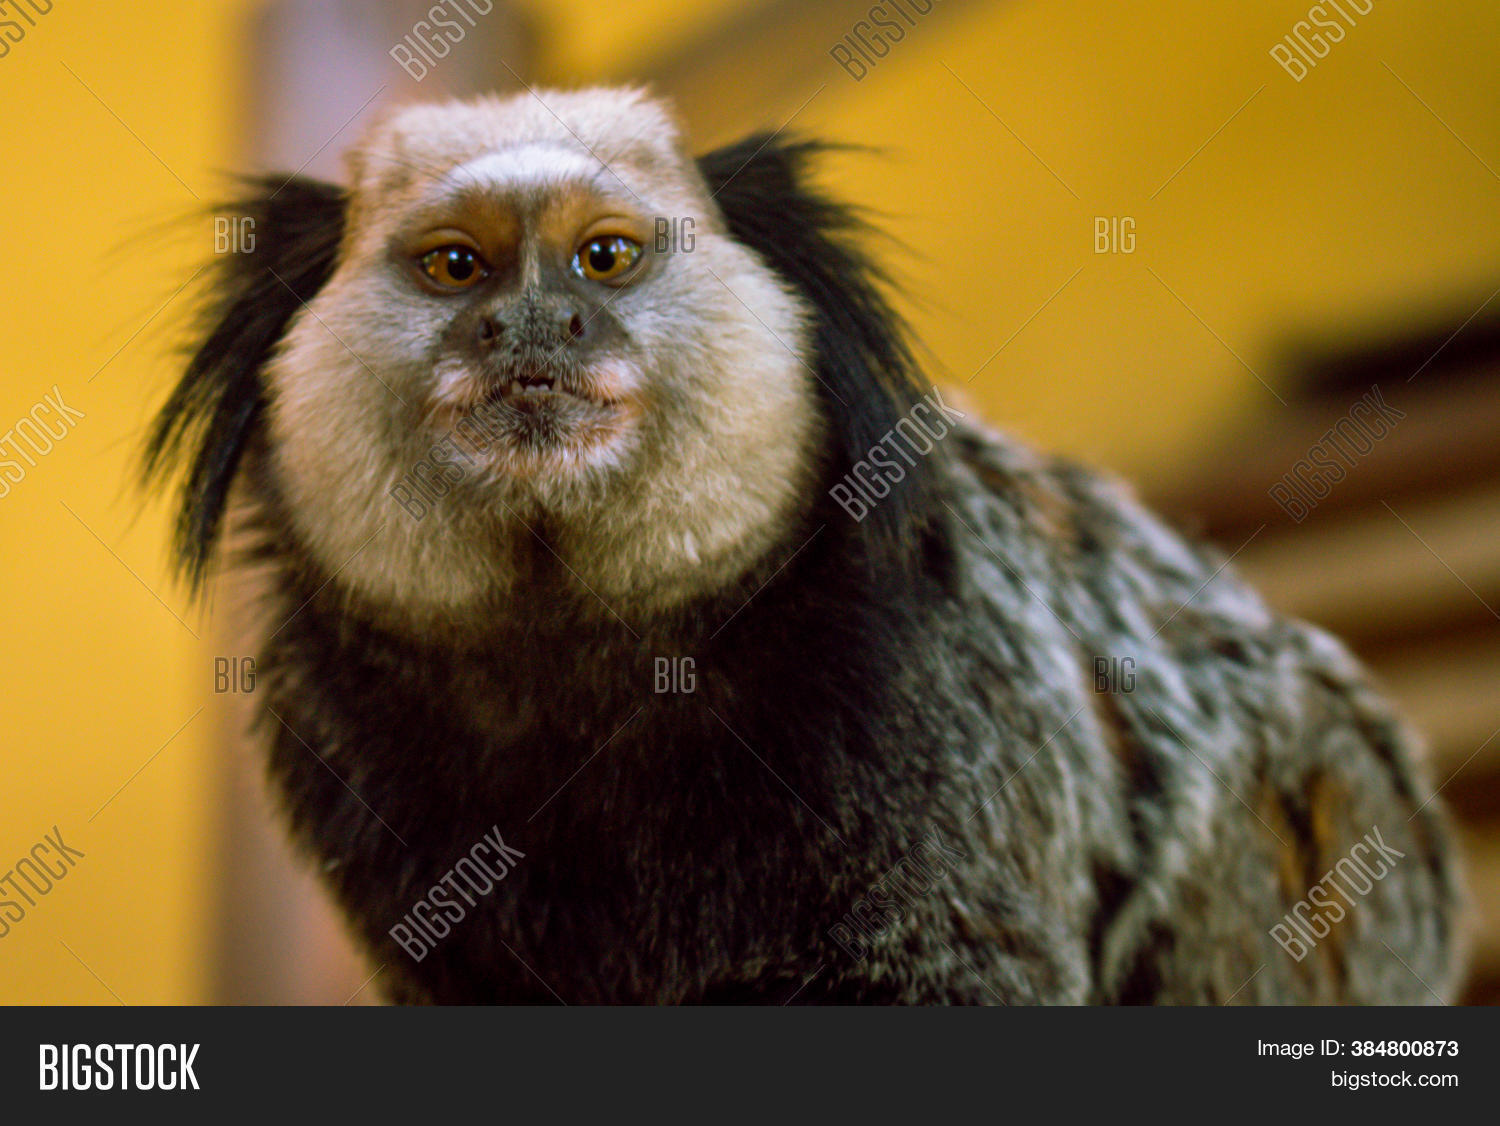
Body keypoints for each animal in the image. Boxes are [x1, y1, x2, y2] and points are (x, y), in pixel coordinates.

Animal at [146, 86, 1460, 1004]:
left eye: (603, 257)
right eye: (456, 266)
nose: (533, 324)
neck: (586, 657)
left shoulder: (931, 676)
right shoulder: (347, 739)